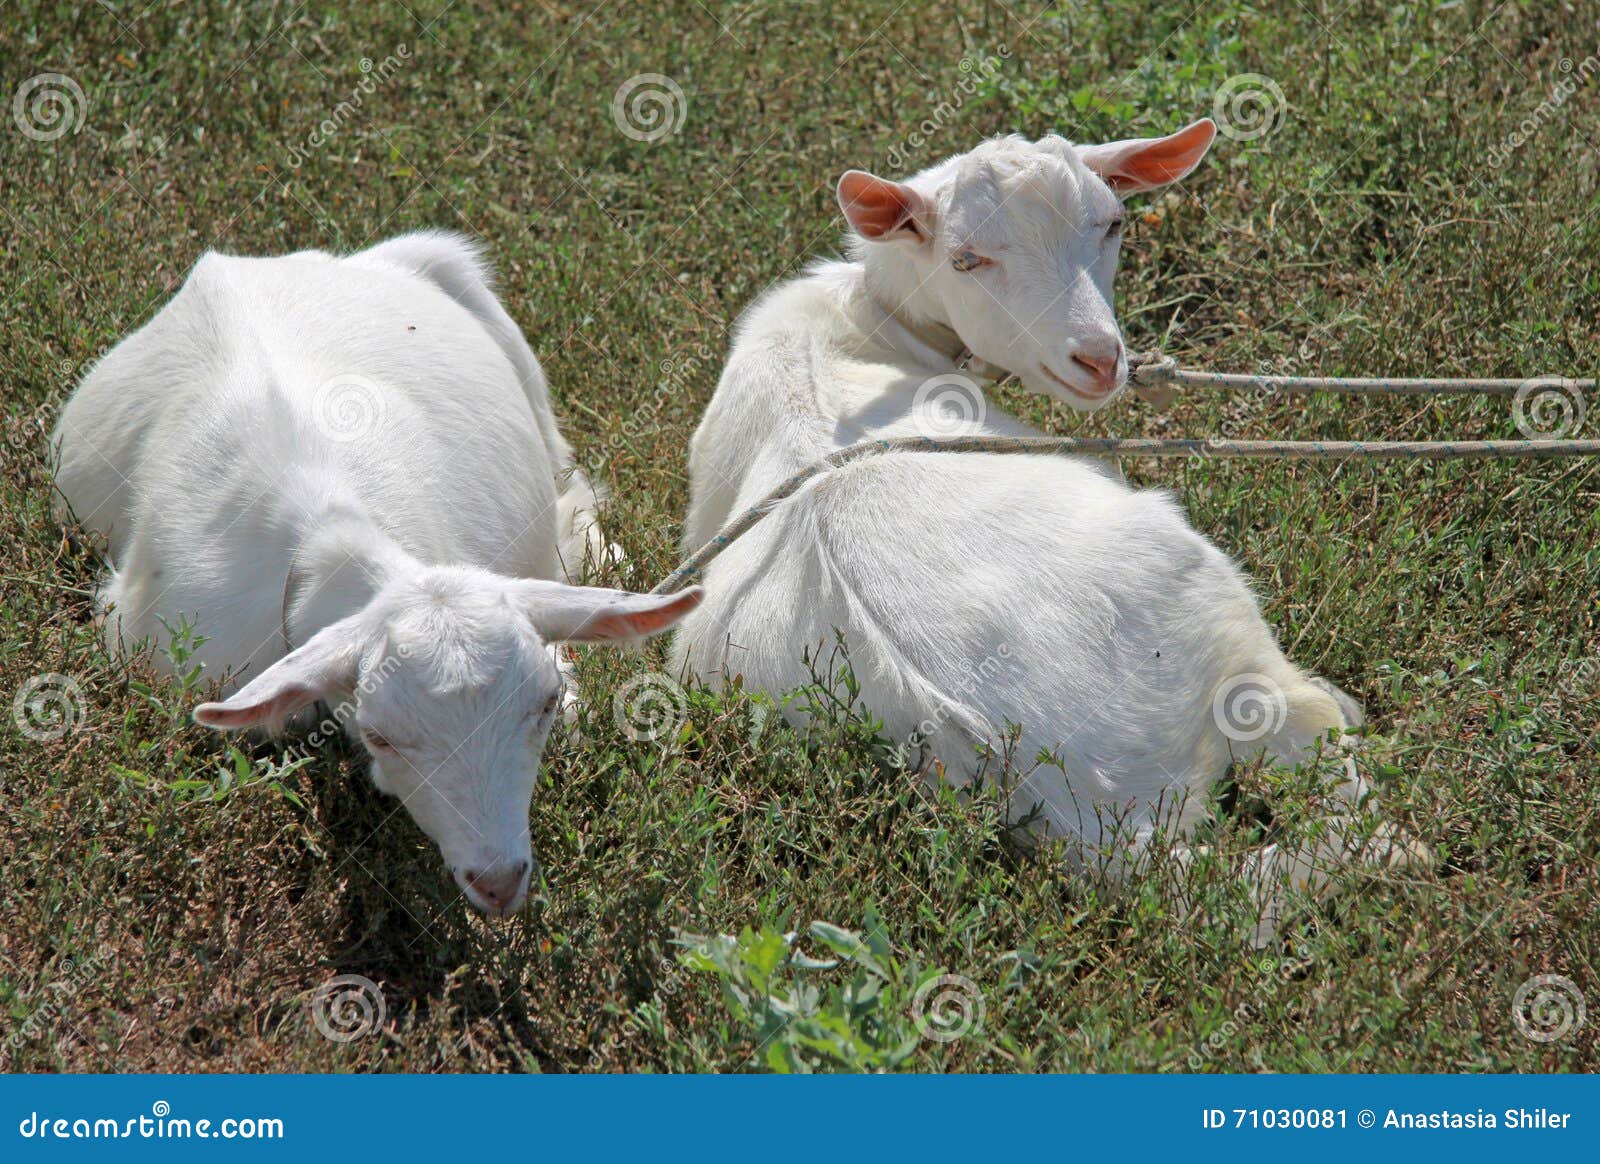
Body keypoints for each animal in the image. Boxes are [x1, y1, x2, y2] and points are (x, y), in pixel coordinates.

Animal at [670, 123, 1424, 941]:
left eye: (1114, 223)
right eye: (967, 259)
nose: (1098, 358)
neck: (859, 329)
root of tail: (1109, 822)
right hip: (1214, 616)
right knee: (1321, 759)